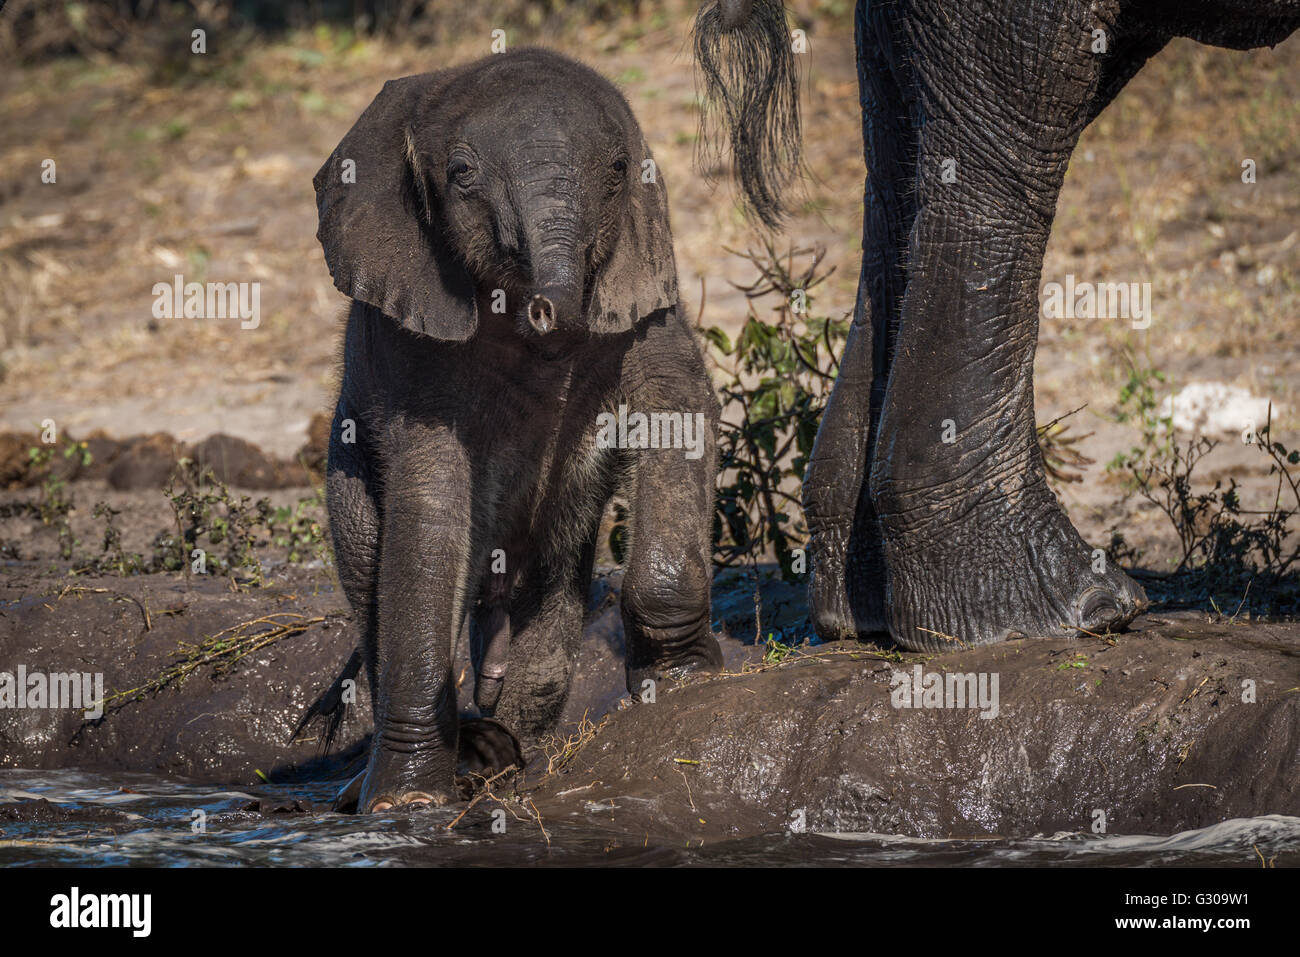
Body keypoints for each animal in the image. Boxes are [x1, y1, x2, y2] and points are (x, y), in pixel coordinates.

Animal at [311, 47, 723, 812]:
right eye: (461, 175)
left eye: (618, 172)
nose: (548, 310)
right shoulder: (415, 332)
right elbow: (431, 502)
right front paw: (407, 804)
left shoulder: (640, 290)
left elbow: (678, 400)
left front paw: (687, 685)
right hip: (345, 491)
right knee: (372, 576)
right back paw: (472, 758)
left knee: (548, 597)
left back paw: (509, 749)